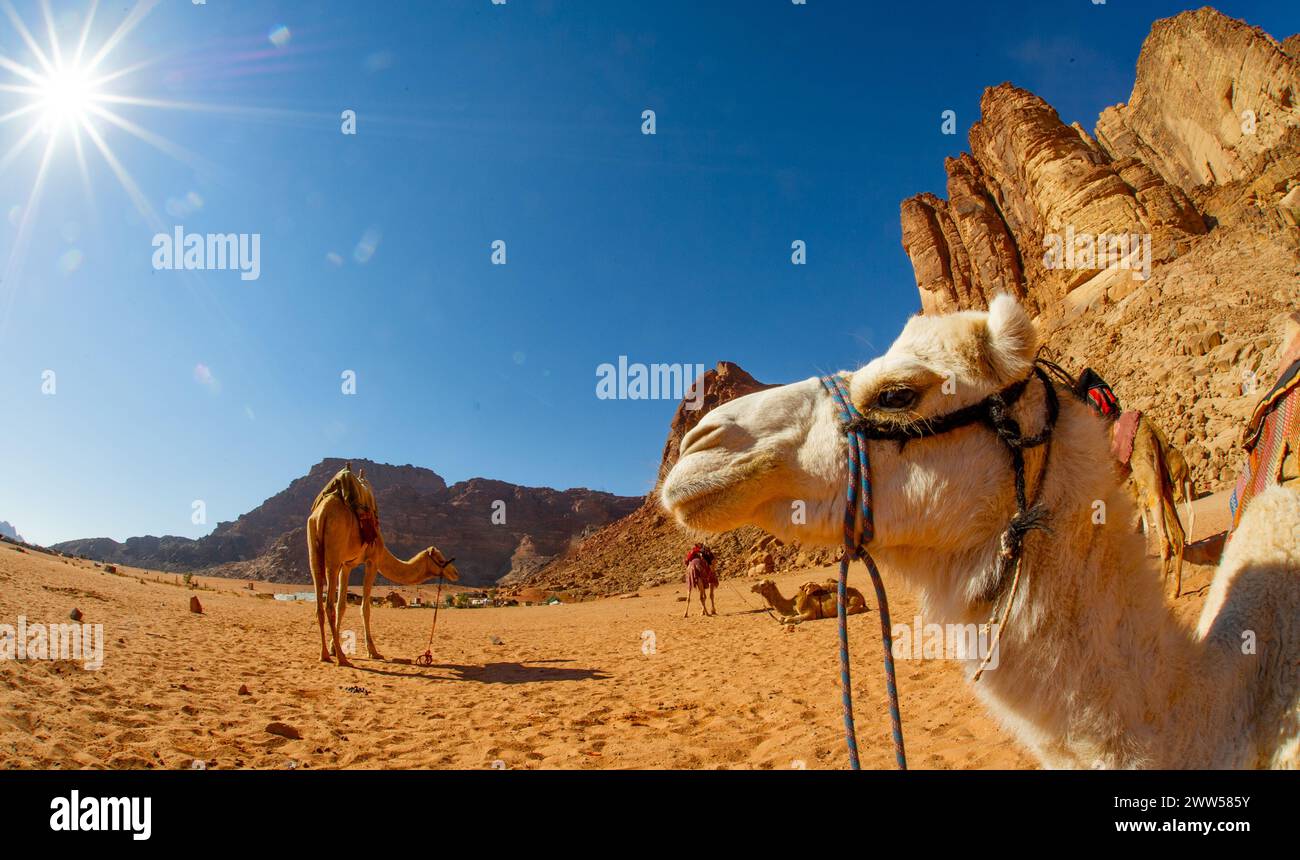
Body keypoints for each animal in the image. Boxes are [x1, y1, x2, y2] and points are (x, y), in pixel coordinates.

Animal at [307, 466, 459, 667]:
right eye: (441, 560)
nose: (455, 572)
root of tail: (322, 513)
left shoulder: (346, 565)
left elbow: (342, 606)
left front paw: (333, 647)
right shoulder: (372, 561)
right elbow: (364, 607)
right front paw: (373, 652)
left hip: (315, 551)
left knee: (320, 602)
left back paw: (324, 654)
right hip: (333, 554)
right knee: (328, 605)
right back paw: (342, 658)